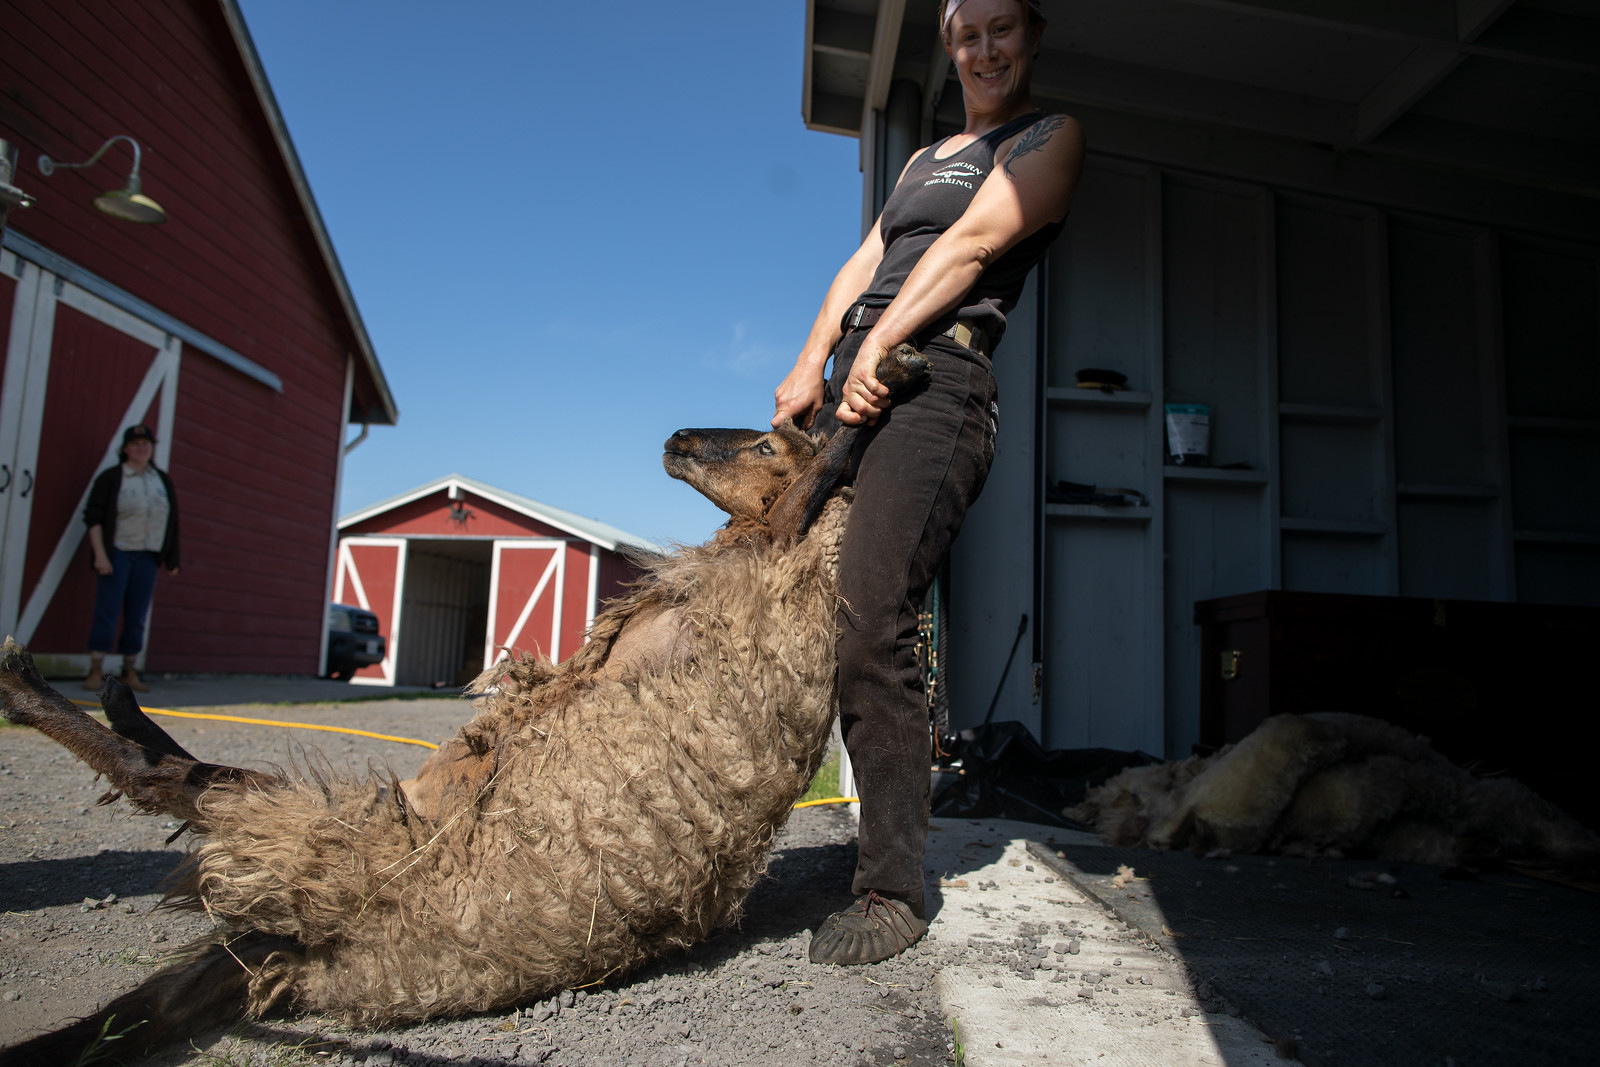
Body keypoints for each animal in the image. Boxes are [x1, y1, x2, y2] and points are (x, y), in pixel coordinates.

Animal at [0, 348, 931, 1065]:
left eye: (764, 437)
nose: (674, 437)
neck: (776, 550)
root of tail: (298, 952)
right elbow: (827, 465)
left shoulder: (778, 545)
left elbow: (828, 462)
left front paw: (892, 373)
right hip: (337, 838)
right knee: (167, 822)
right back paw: (72, 691)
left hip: (332, 839)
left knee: (162, 784)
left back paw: (47, 686)